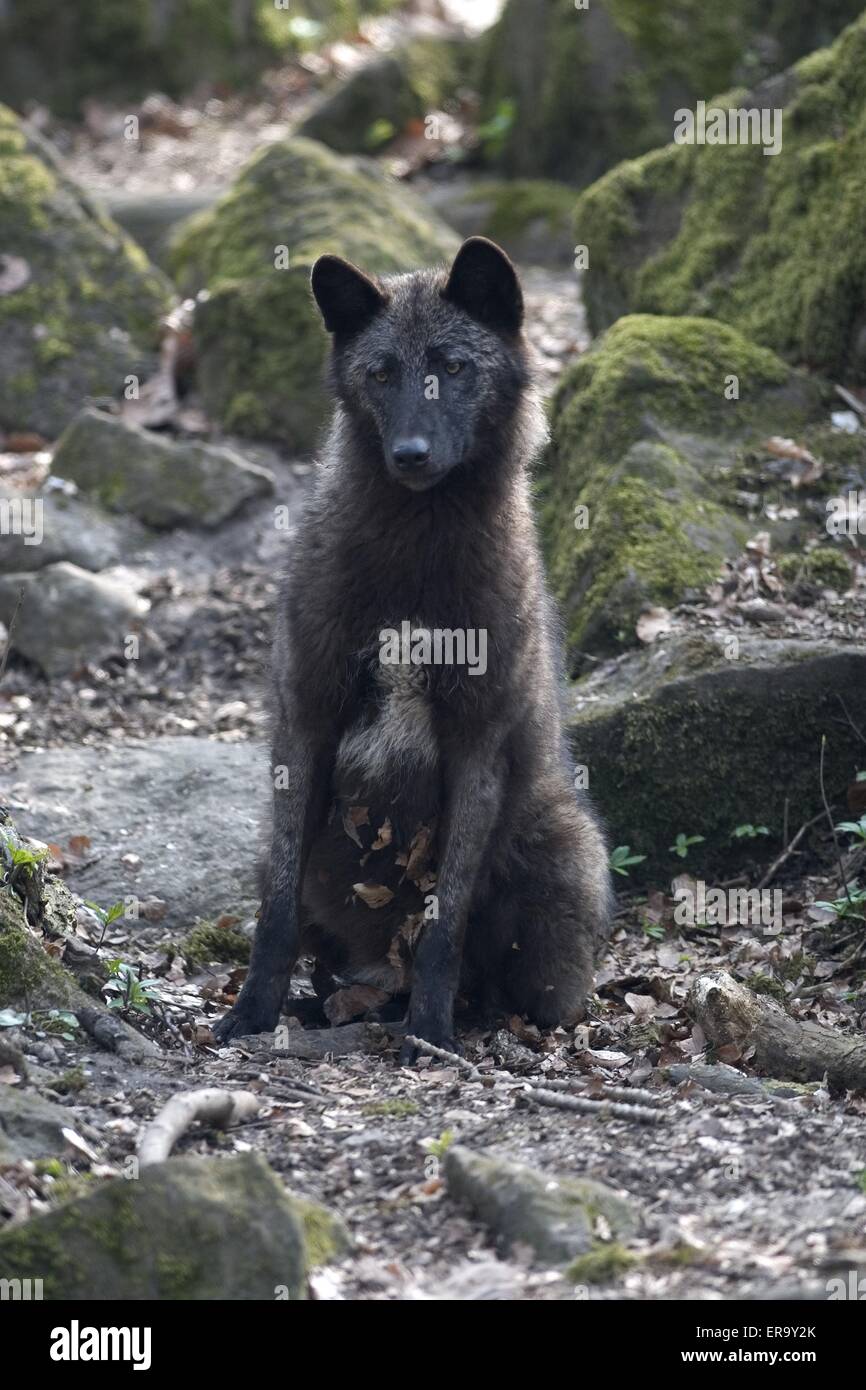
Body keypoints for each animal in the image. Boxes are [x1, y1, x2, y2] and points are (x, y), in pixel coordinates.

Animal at [213, 237, 612, 1060]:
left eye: (454, 366)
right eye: (381, 373)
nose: (411, 453)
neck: (416, 556)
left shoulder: (477, 748)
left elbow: (441, 927)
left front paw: (430, 1033)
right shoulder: (307, 726)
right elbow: (275, 918)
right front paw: (253, 1011)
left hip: (564, 858)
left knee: (516, 988)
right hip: (278, 848)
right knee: (321, 947)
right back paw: (331, 1004)